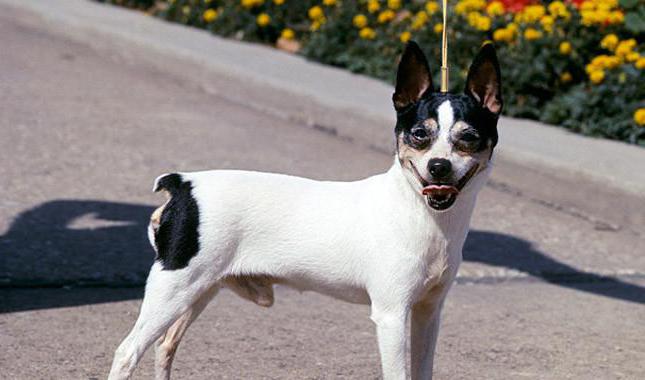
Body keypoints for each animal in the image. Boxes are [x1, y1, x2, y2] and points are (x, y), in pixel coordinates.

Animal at [108, 41, 504, 380]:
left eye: (468, 138)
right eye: (420, 135)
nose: (438, 166)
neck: (424, 215)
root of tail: (183, 184)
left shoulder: (427, 313)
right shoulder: (392, 317)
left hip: (200, 287)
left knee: (165, 345)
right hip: (175, 287)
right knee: (128, 351)